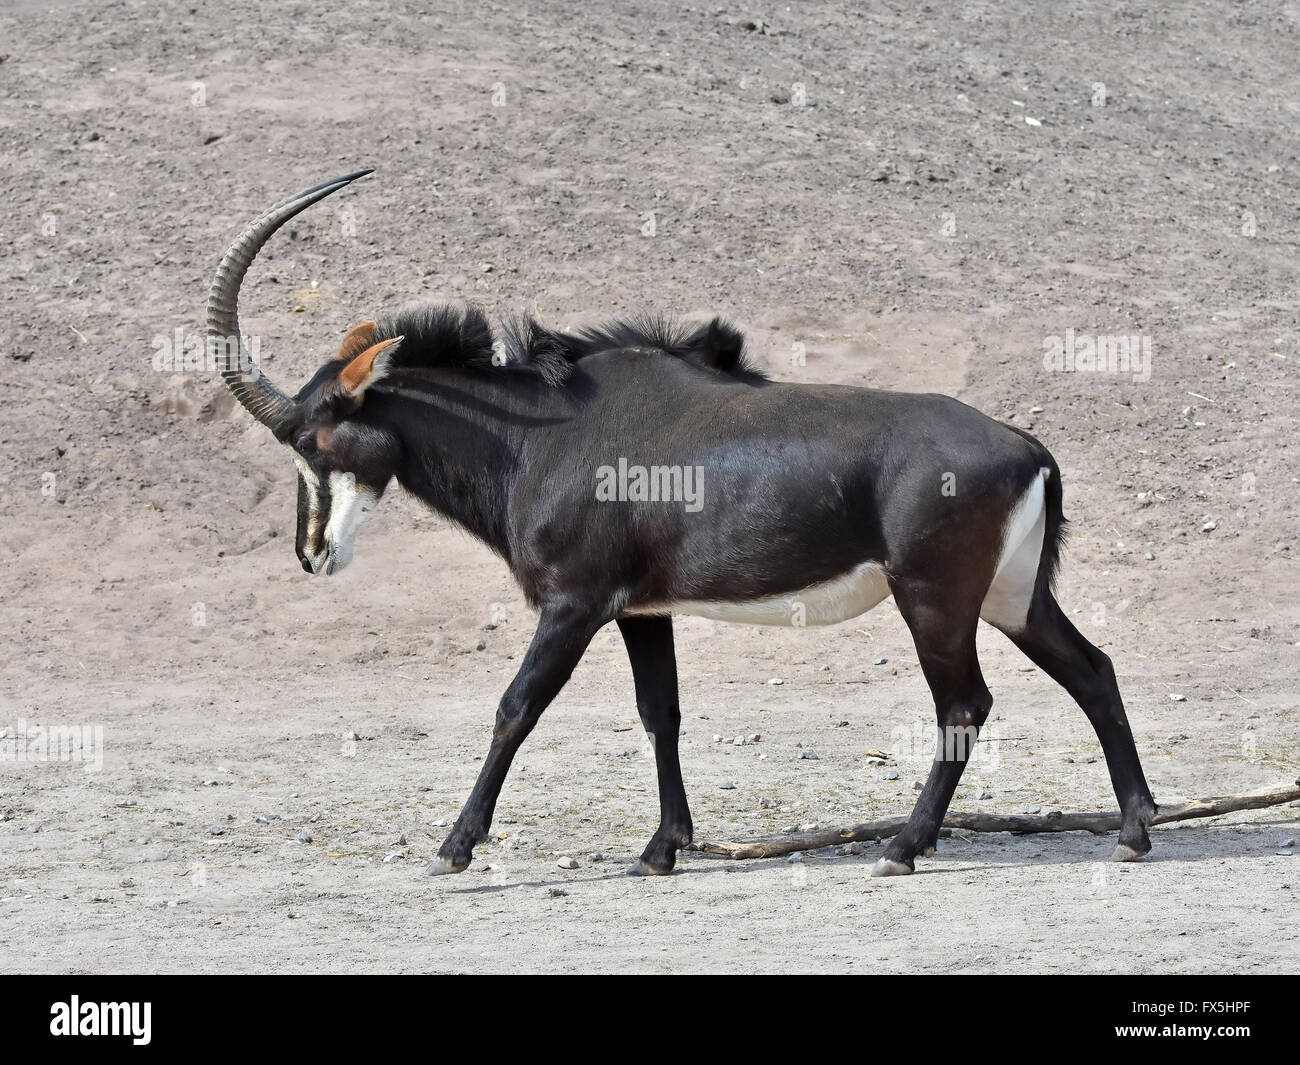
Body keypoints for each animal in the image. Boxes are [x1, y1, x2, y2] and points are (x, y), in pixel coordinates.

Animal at [206, 171, 1157, 877]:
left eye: (312, 436)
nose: (310, 553)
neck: (538, 432)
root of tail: (1024, 444)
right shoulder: (639, 610)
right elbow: (659, 713)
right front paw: (662, 848)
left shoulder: (574, 603)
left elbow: (515, 707)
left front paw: (454, 847)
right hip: (1008, 595)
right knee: (1092, 668)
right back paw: (1135, 829)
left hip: (933, 596)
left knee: (965, 702)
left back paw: (903, 846)